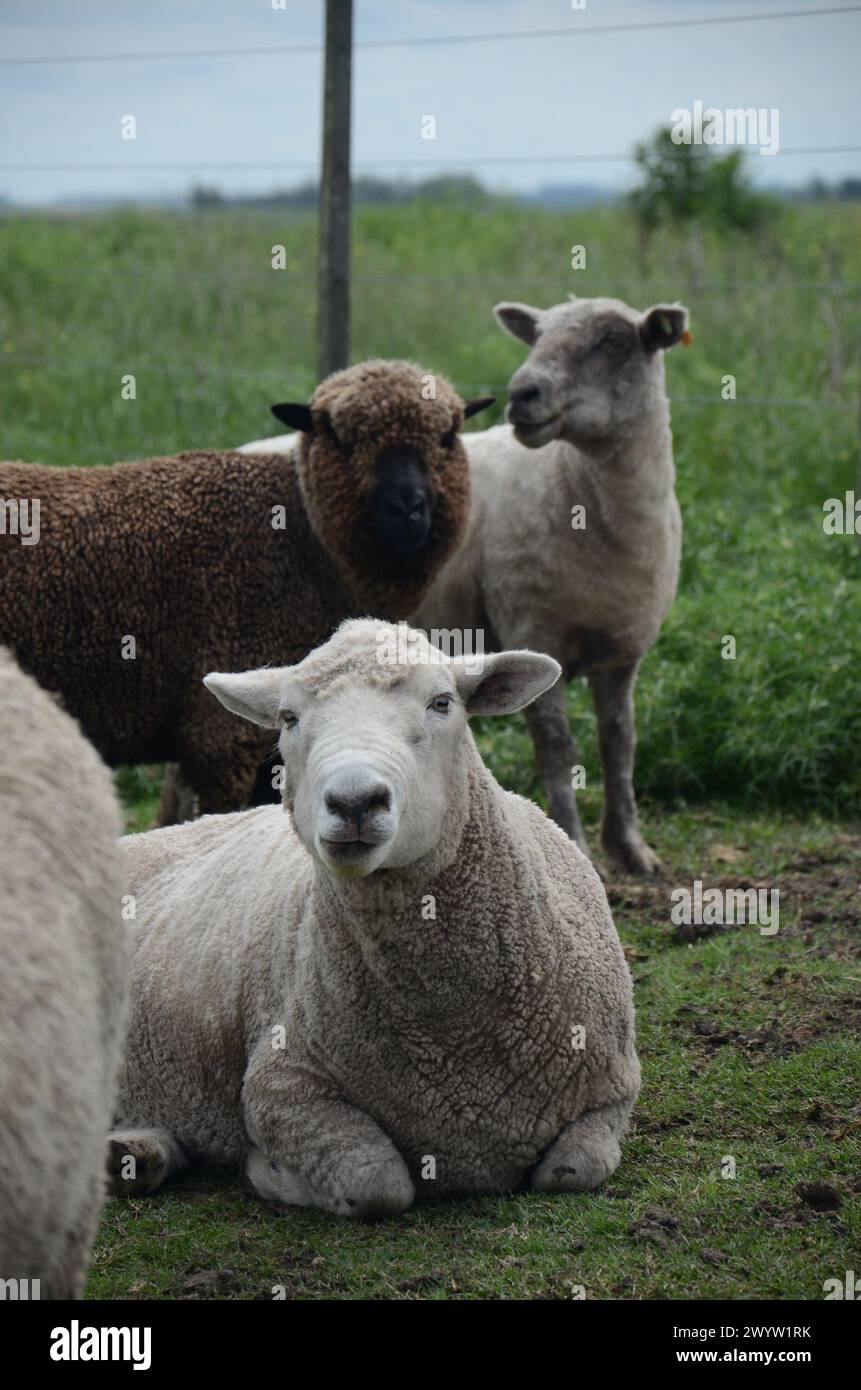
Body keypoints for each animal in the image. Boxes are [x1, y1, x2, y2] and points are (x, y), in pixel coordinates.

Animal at [108, 618, 640, 1216]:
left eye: (442, 702)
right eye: (288, 718)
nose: (355, 801)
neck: (455, 1042)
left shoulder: (613, 1089)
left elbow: (573, 1170)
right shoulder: (281, 1087)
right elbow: (378, 1183)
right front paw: (270, 1173)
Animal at [411, 296, 690, 874]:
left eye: (613, 340)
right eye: (536, 337)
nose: (522, 393)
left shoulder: (624, 651)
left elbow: (620, 742)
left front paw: (631, 847)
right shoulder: (532, 630)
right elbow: (557, 749)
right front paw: (577, 845)